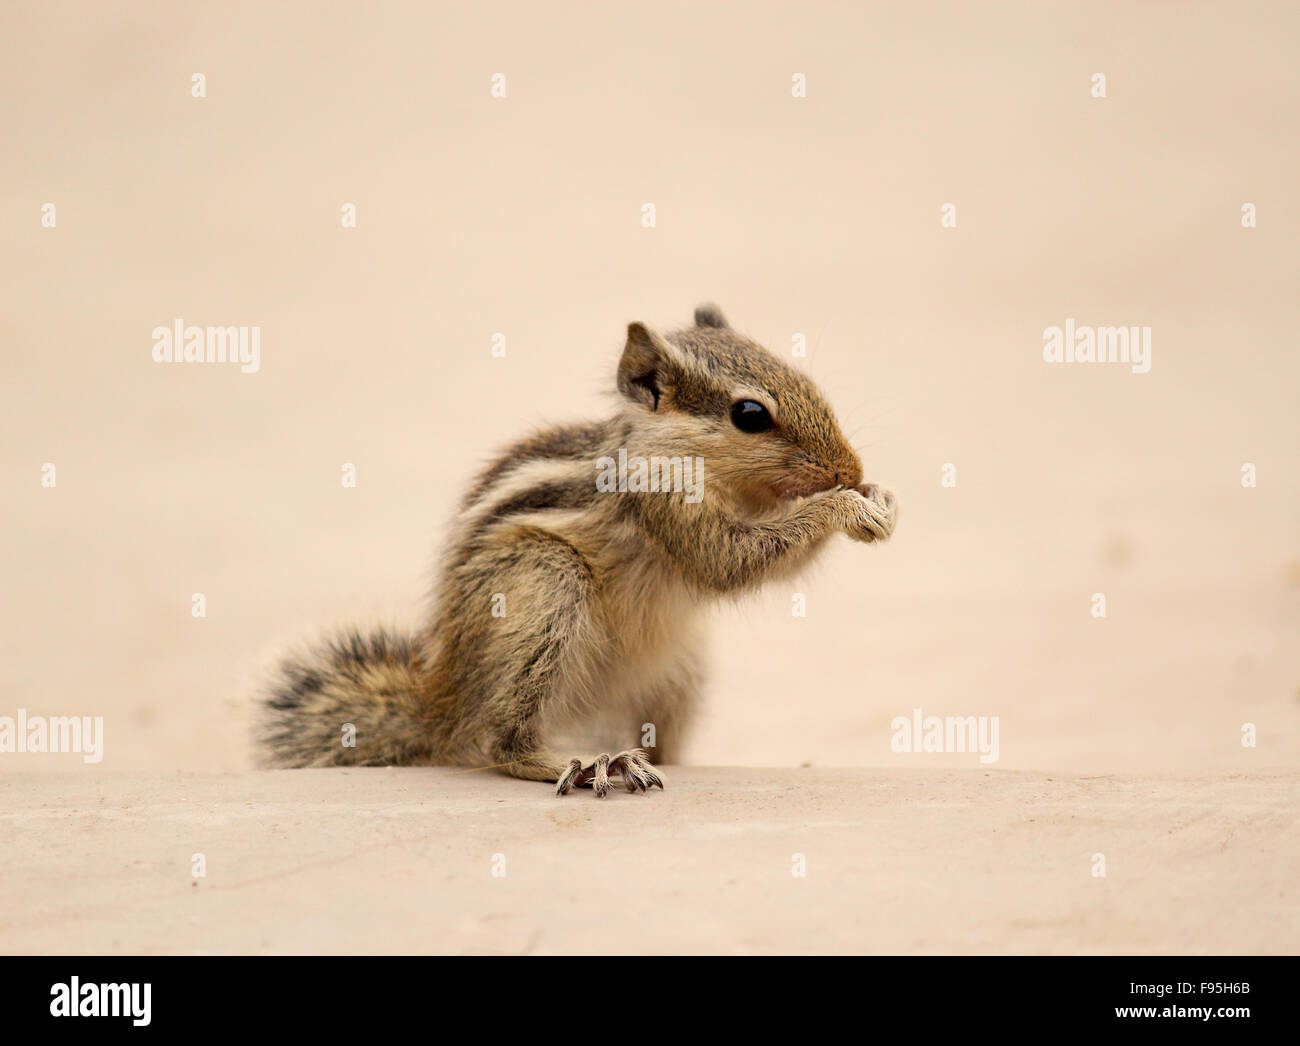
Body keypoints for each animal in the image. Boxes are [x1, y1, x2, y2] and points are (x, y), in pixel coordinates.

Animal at [260, 304, 898, 796]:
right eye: (750, 414)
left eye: (804, 378)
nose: (849, 468)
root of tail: (438, 699)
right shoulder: (665, 504)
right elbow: (728, 561)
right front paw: (845, 507)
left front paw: (878, 496)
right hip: (545, 583)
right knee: (497, 739)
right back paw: (581, 762)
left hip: (681, 675)